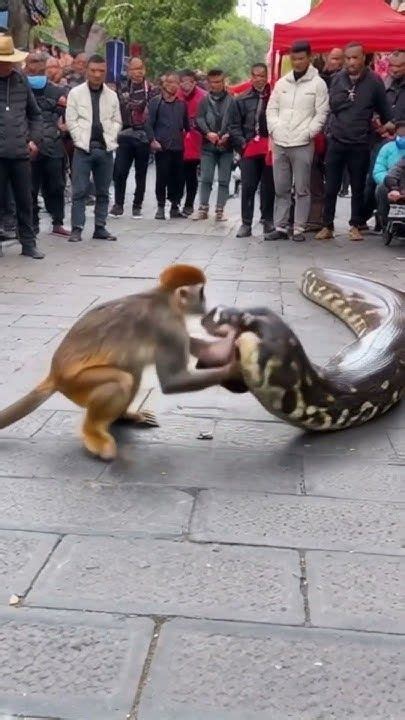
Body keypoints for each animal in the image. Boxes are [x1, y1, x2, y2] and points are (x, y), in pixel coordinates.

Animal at [0, 265, 241, 461]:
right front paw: (233, 370)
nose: (205, 303)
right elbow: (172, 381)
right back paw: (93, 432)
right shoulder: (169, 327)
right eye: (201, 292)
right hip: (75, 384)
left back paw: (124, 416)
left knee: (133, 371)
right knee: (121, 379)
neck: (165, 299)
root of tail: (55, 374)